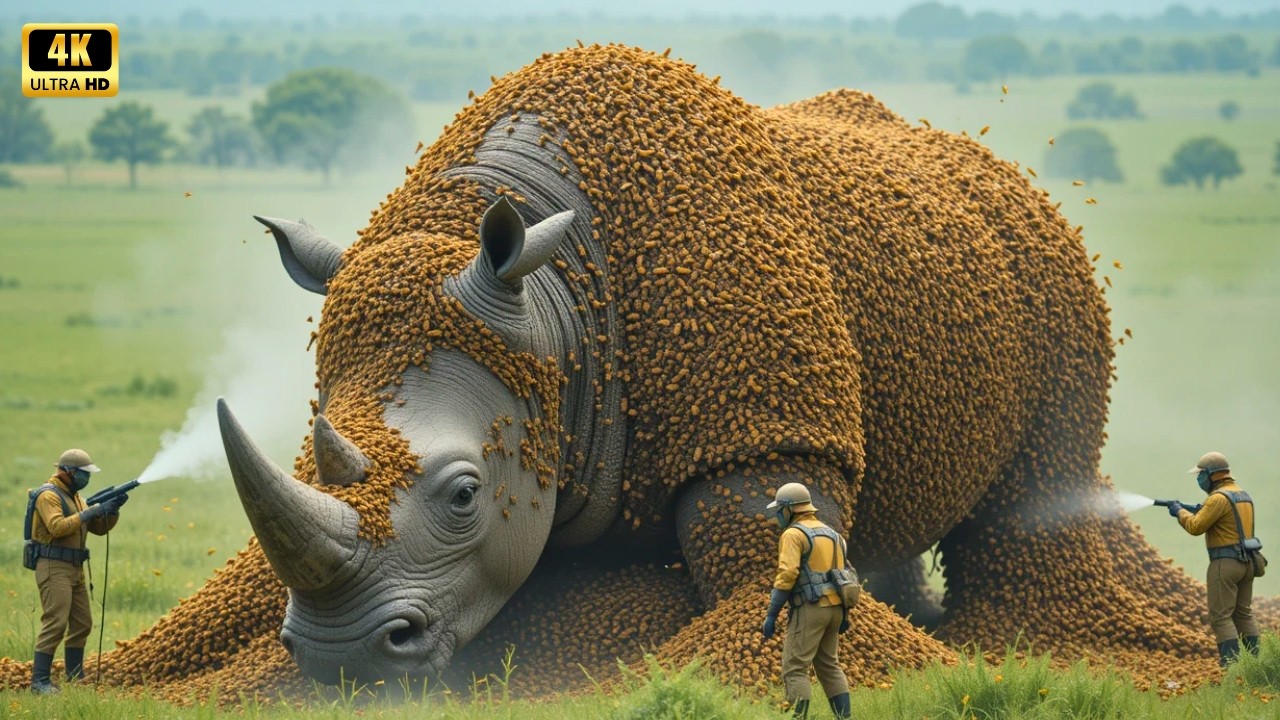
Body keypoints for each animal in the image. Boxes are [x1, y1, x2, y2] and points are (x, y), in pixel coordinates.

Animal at [216, 44, 1220, 687]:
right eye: (312, 453)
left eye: (465, 494)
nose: (338, 661)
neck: (554, 310)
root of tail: (1014, 183)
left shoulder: (765, 425)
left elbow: (751, 560)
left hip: (1051, 273)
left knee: (1040, 478)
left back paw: (1019, 646)